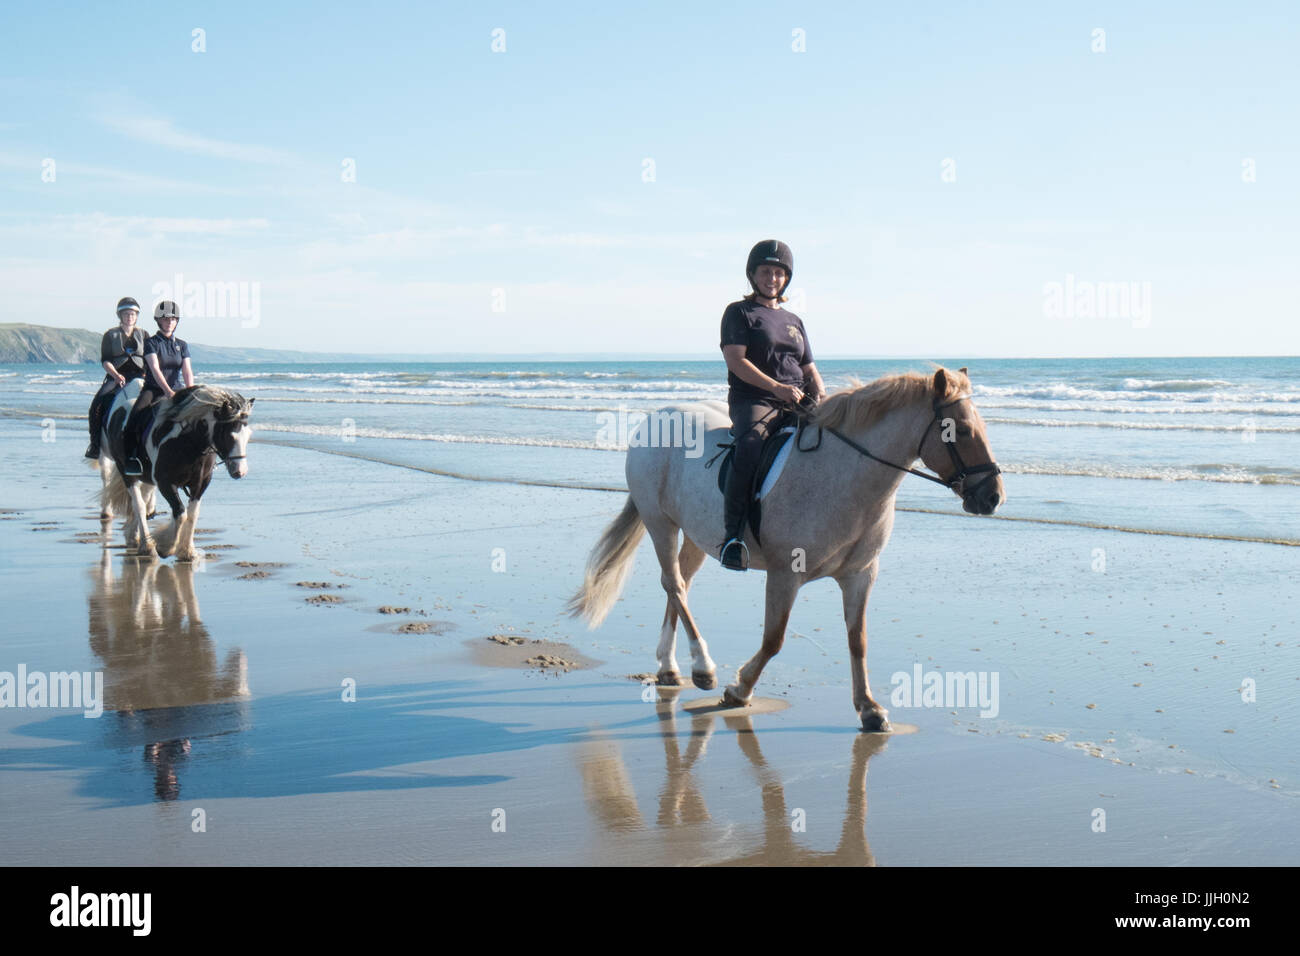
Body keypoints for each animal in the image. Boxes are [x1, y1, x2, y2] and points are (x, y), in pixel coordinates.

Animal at [98, 383, 255, 561]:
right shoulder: (165, 483)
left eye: (248, 435)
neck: (188, 441)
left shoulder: (200, 483)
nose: (240, 471)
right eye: (228, 435)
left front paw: (187, 551)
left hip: (146, 477)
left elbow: (192, 514)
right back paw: (147, 546)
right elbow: (180, 513)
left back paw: (134, 536)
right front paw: (166, 547)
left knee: (144, 502)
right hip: (126, 472)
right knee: (139, 505)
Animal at [568, 366, 1004, 732]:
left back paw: (670, 667)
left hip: (695, 535)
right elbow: (774, 639)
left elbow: (858, 640)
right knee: (673, 584)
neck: (843, 475)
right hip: (660, 522)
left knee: (680, 588)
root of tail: (657, 416)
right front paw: (739, 689)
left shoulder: (860, 575)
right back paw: (702, 668)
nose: (993, 496)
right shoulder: (785, 574)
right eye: (962, 430)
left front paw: (869, 708)